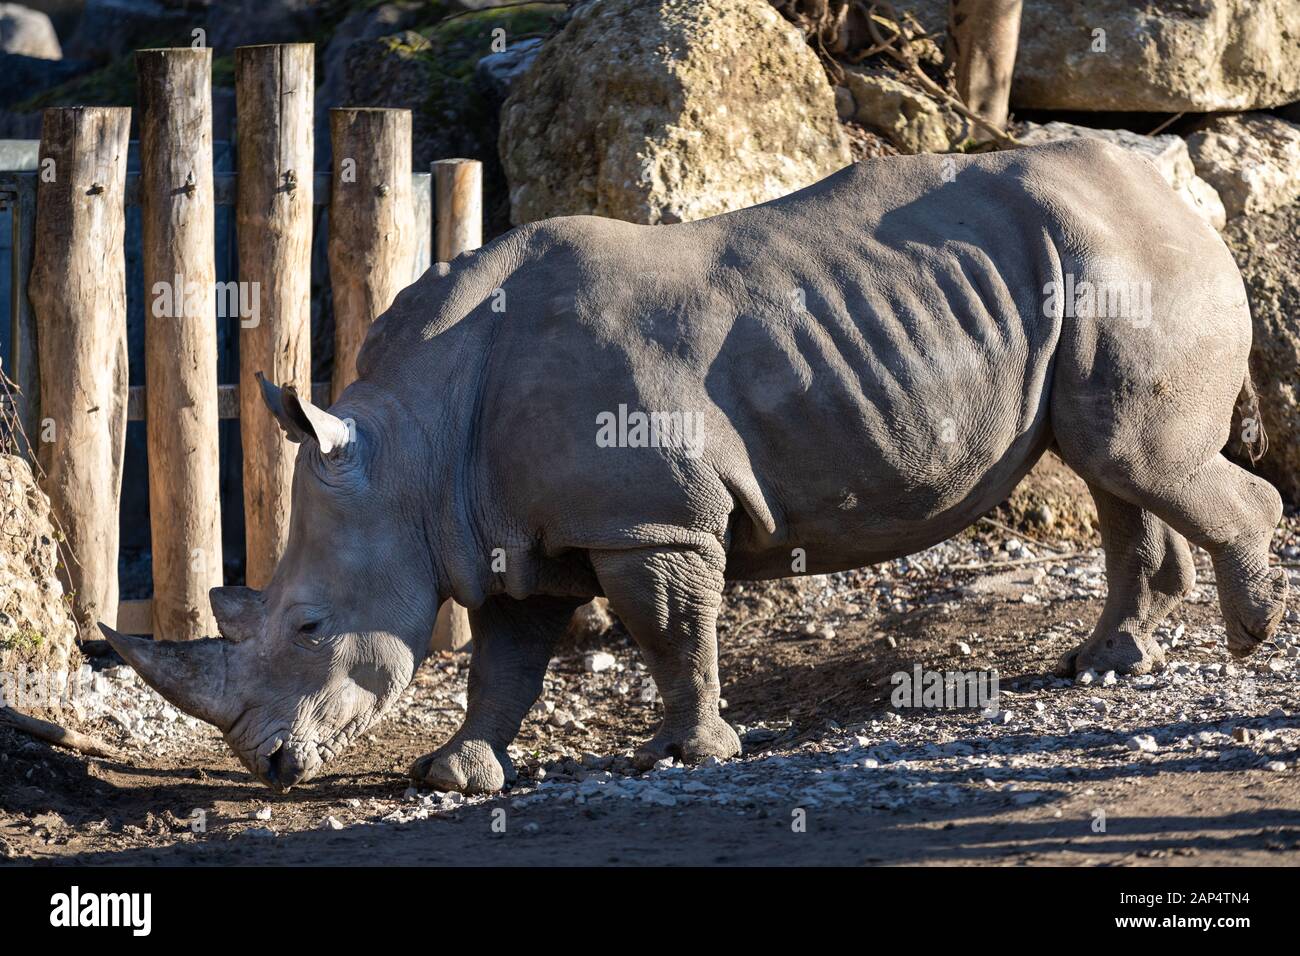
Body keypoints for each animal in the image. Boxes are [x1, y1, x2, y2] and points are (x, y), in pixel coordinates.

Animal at [101, 140, 1288, 794]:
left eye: (306, 625)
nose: (267, 766)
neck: (414, 446)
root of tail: (1176, 194)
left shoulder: (647, 518)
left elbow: (670, 634)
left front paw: (682, 755)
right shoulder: (509, 533)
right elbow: (504, 662)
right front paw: (455, 771)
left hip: (1127, 264)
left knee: (1133, 458)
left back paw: (1249, 633)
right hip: (1087, 265)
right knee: (1108, 466)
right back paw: (1106, 664)